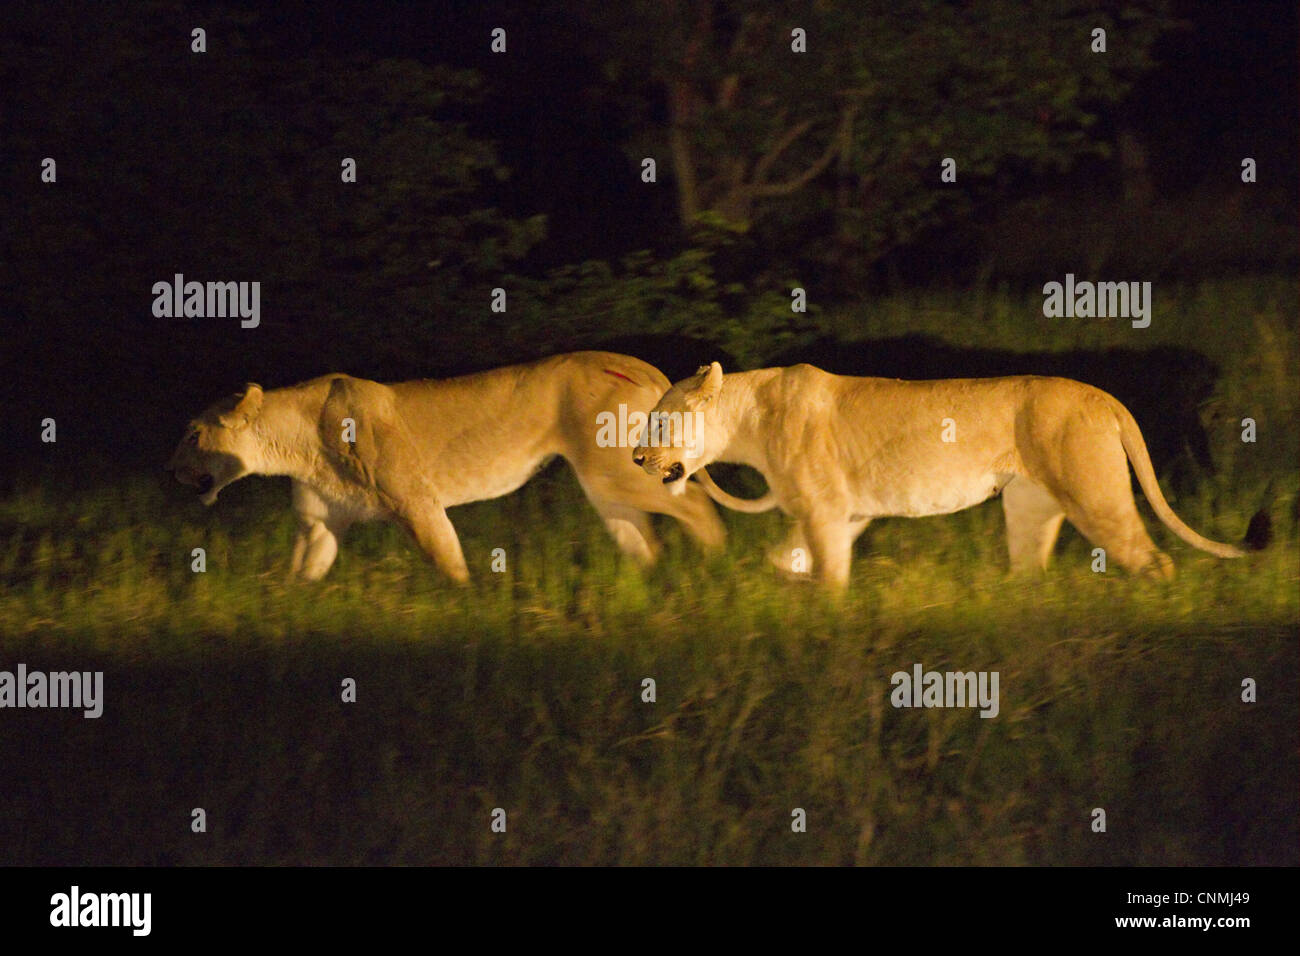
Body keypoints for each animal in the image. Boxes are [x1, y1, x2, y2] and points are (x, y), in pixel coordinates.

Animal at [166, 352, 731, 583]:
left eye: (194, 434)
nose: (171, 471)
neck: (293, 446)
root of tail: (643, 367)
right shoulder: (321, 523)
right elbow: (302, 577)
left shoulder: (415, 502)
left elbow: (448, 562)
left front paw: (468, 608)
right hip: (604, 483)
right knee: (644, 539)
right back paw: (650, 585)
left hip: (618, 470)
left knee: (696, 505)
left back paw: (714, 568)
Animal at [634, 361, 1253, 591]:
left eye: (660, 419)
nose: (637, 458)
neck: (749, 424)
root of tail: (1104, 398)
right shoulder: (848, 512)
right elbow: (789, 559)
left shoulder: (825, 511)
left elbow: (830, 577)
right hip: (1028, 505)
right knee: (1030, 570)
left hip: (1095, 497)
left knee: (1155, 560)